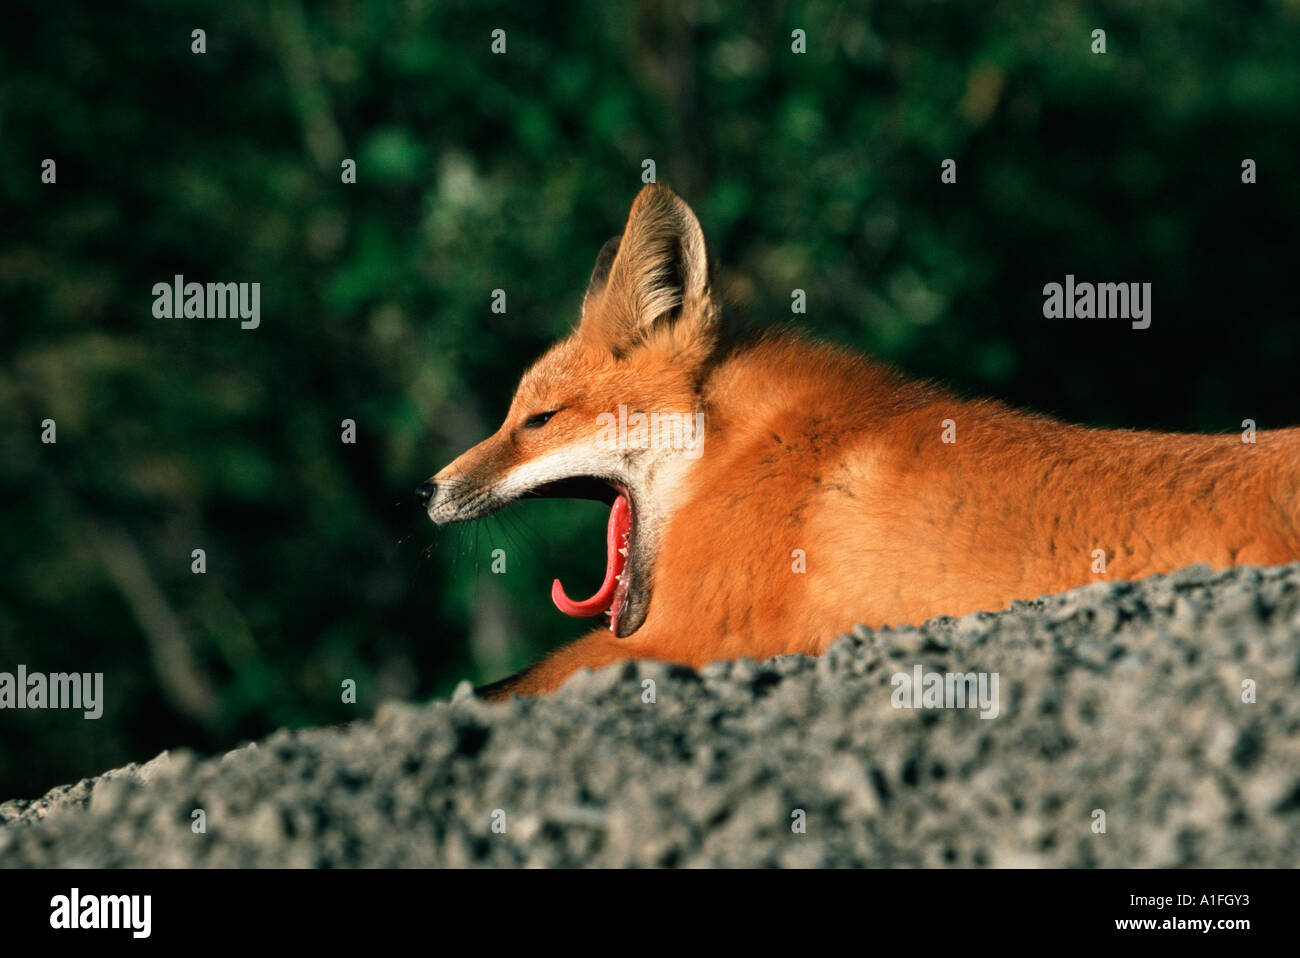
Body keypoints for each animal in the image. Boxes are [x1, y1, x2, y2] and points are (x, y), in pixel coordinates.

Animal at [418, 183, 1300, 700]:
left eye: (537, 420)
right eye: (515, 414)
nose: (426, 489)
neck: (740, 455)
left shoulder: (703, 635)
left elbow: (512, 684)